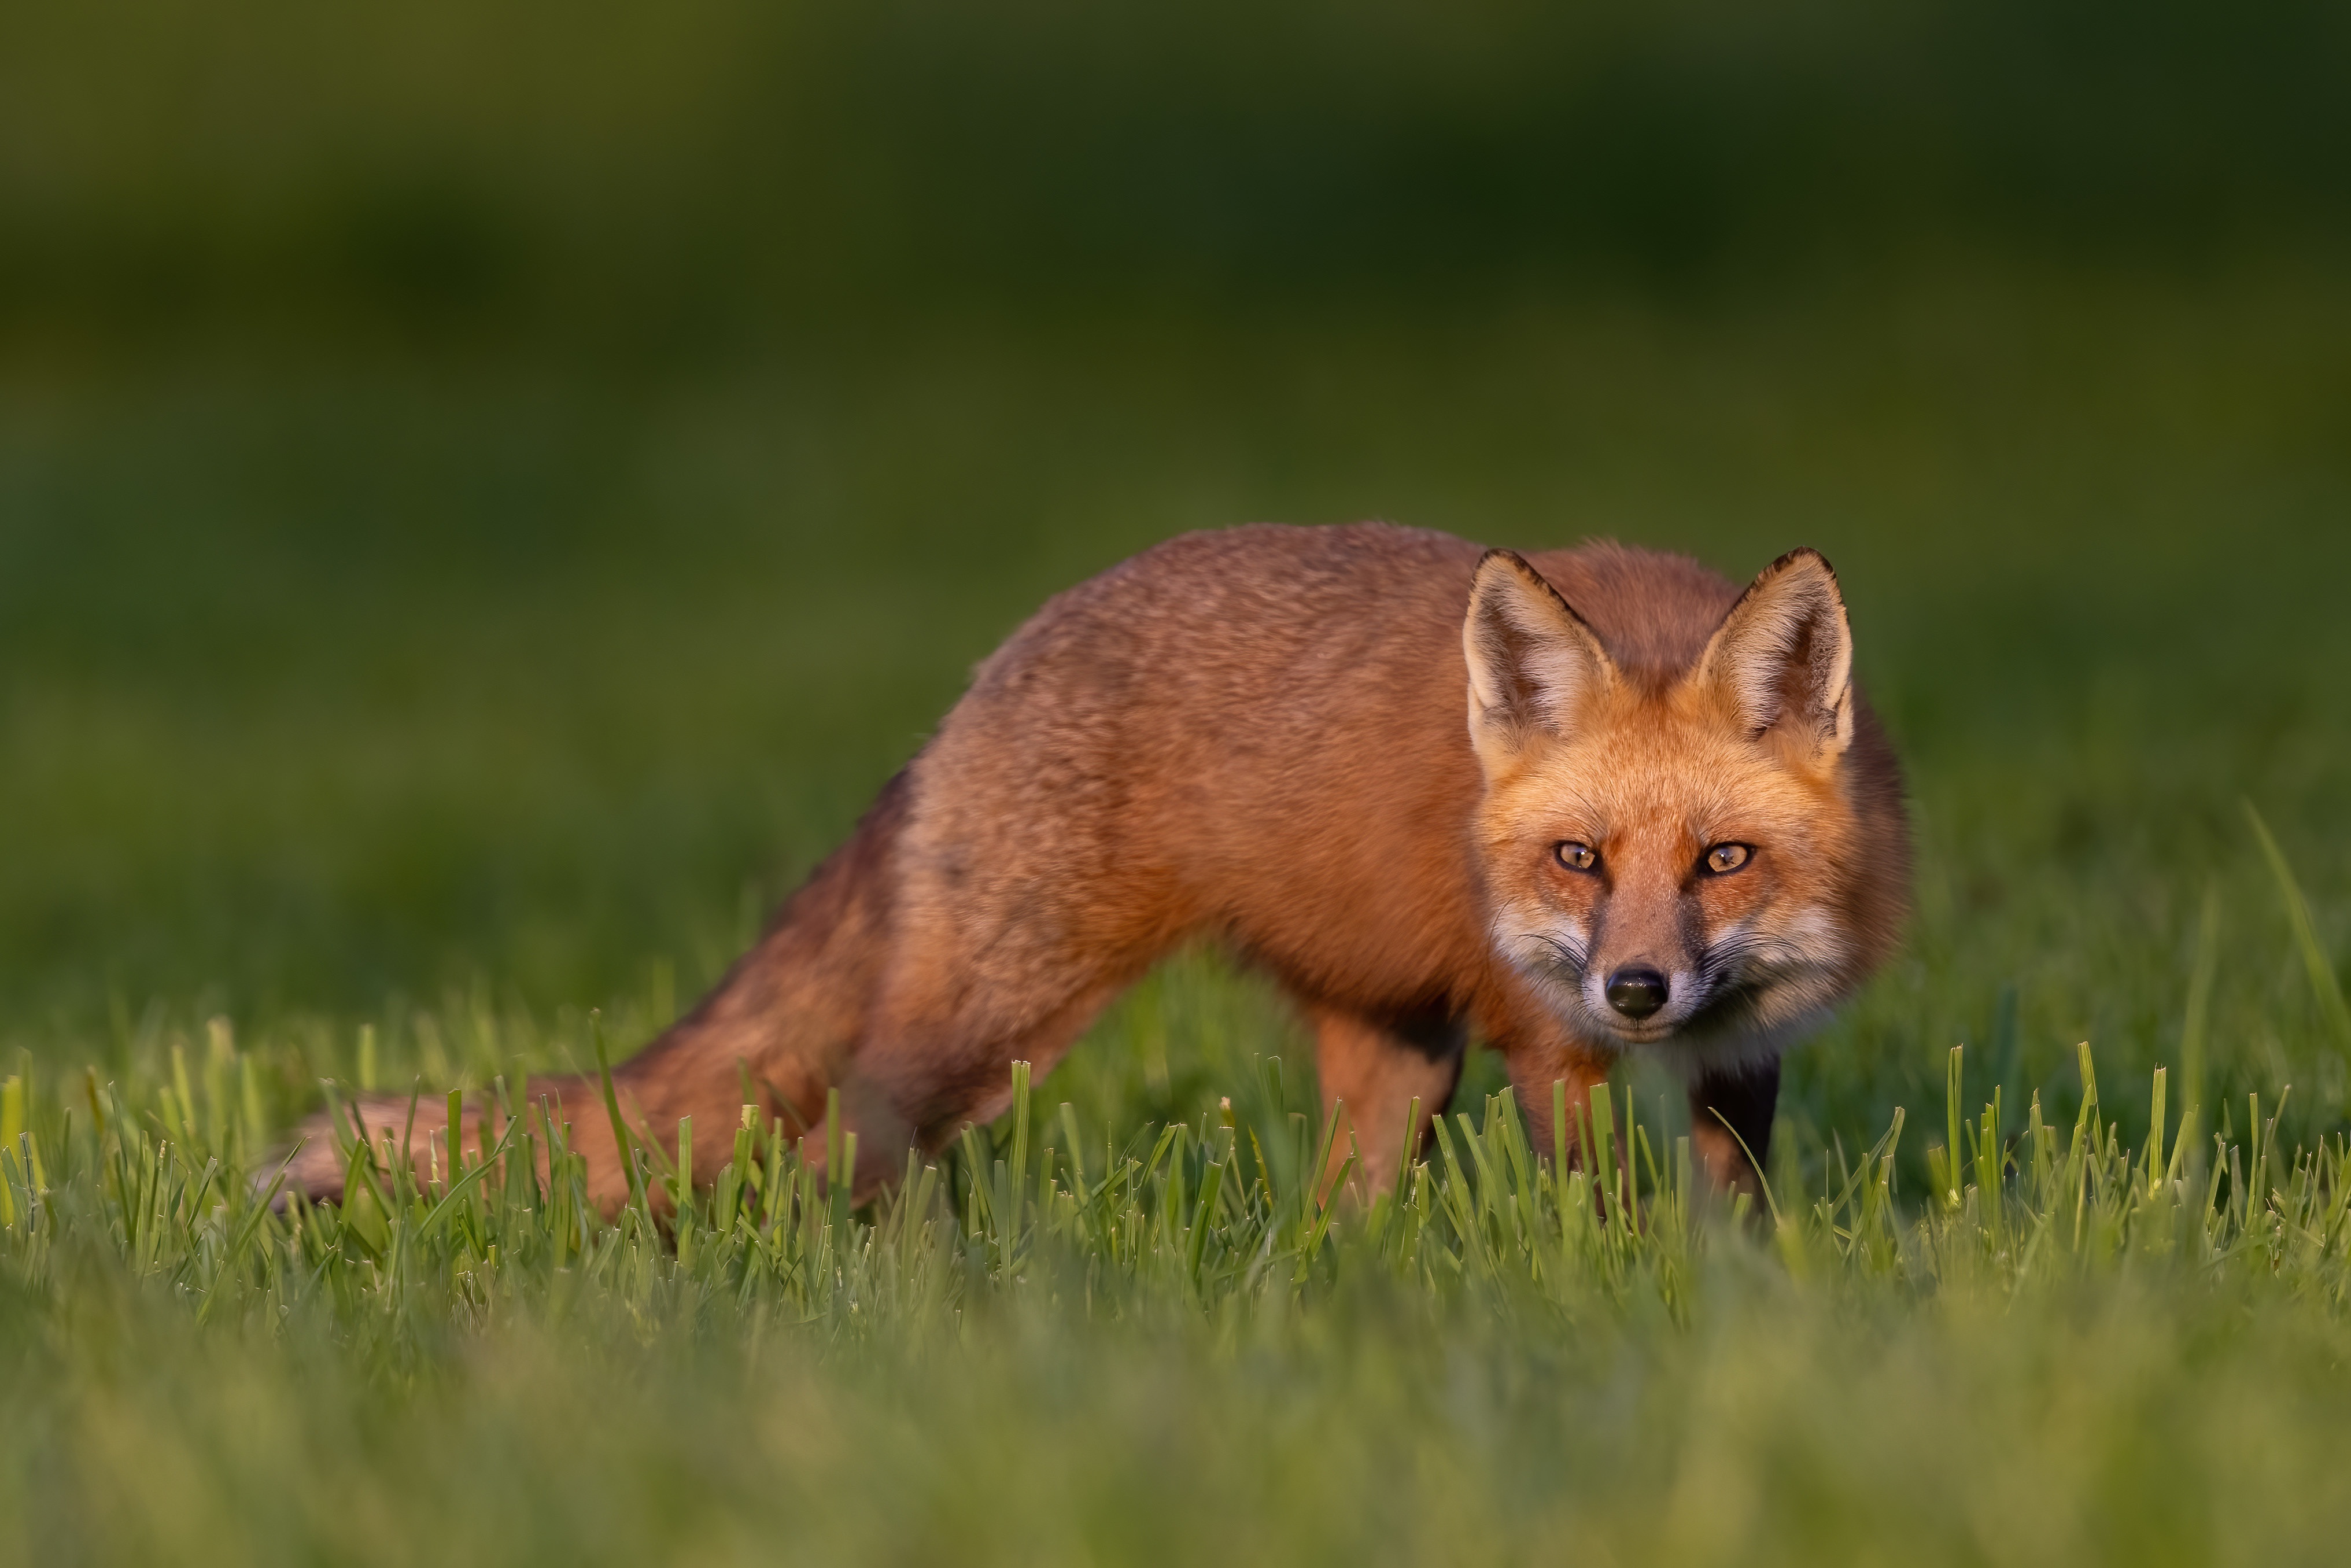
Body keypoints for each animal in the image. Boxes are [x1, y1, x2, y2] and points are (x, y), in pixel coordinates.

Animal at [283, 523, 1907, 1210]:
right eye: (1577, 857)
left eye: (1721, 859)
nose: (1635, 988)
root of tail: (988, 670)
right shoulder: (1545, 1047)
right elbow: (1599, 1215)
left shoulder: (1740, 1059)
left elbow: (1738, 1213)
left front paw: (1736, 1306)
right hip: (999, 1014)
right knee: (836, 1143)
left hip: (1396, 1058)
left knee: (1338, 1215)